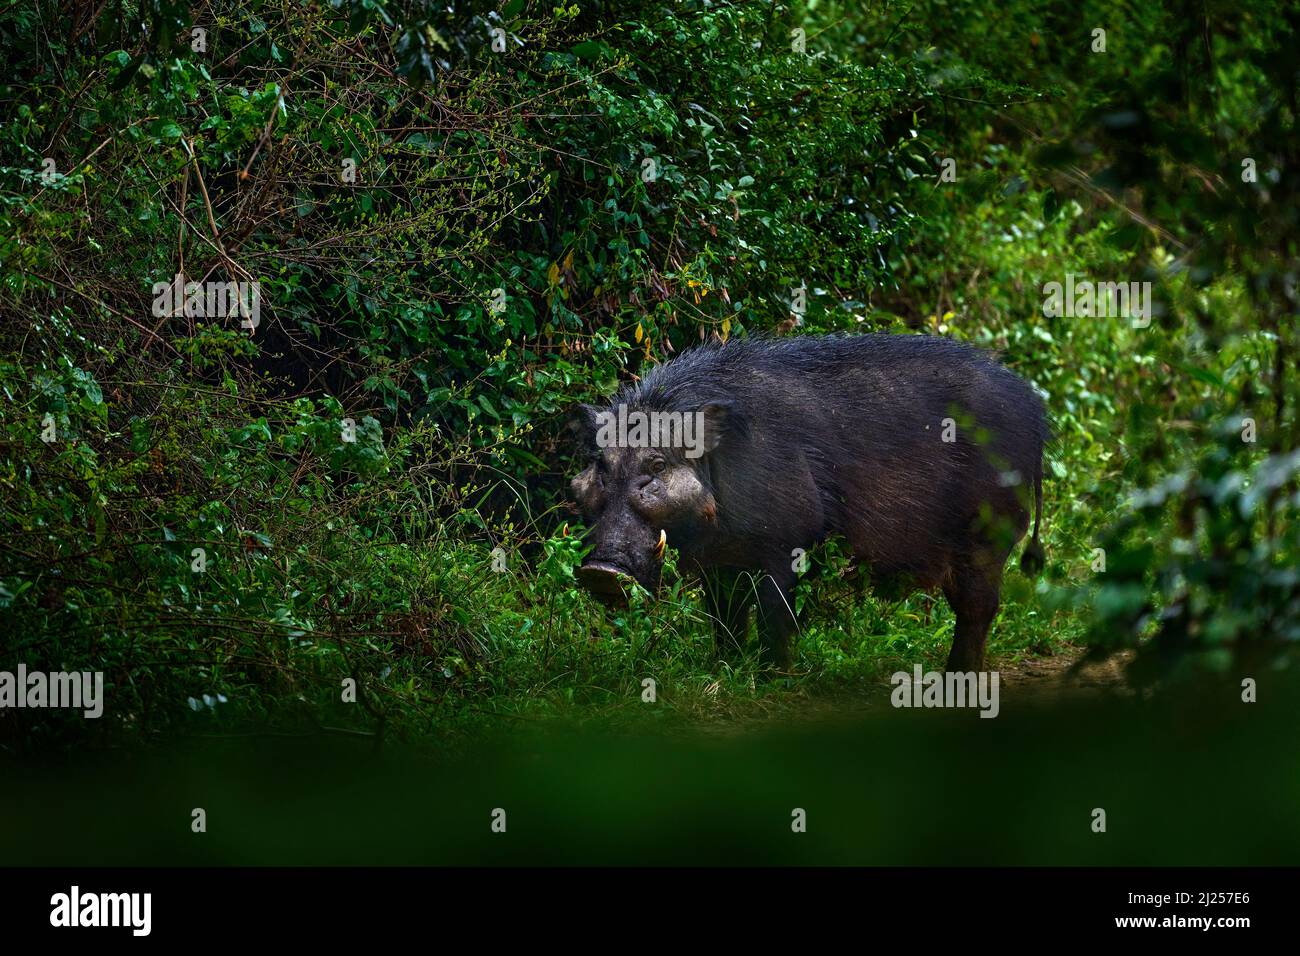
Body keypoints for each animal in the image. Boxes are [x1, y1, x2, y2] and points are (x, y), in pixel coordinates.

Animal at [568, 334, 1047, 672]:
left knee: (978, 609)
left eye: (658, 464)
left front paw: (773, 675)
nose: (602, 572)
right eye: (601, 464)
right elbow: (725, 618)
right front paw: (724, 669)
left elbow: (777, 615)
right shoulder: (722, 560)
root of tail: (1039, 416)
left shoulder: (785, 544)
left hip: (988, 536)